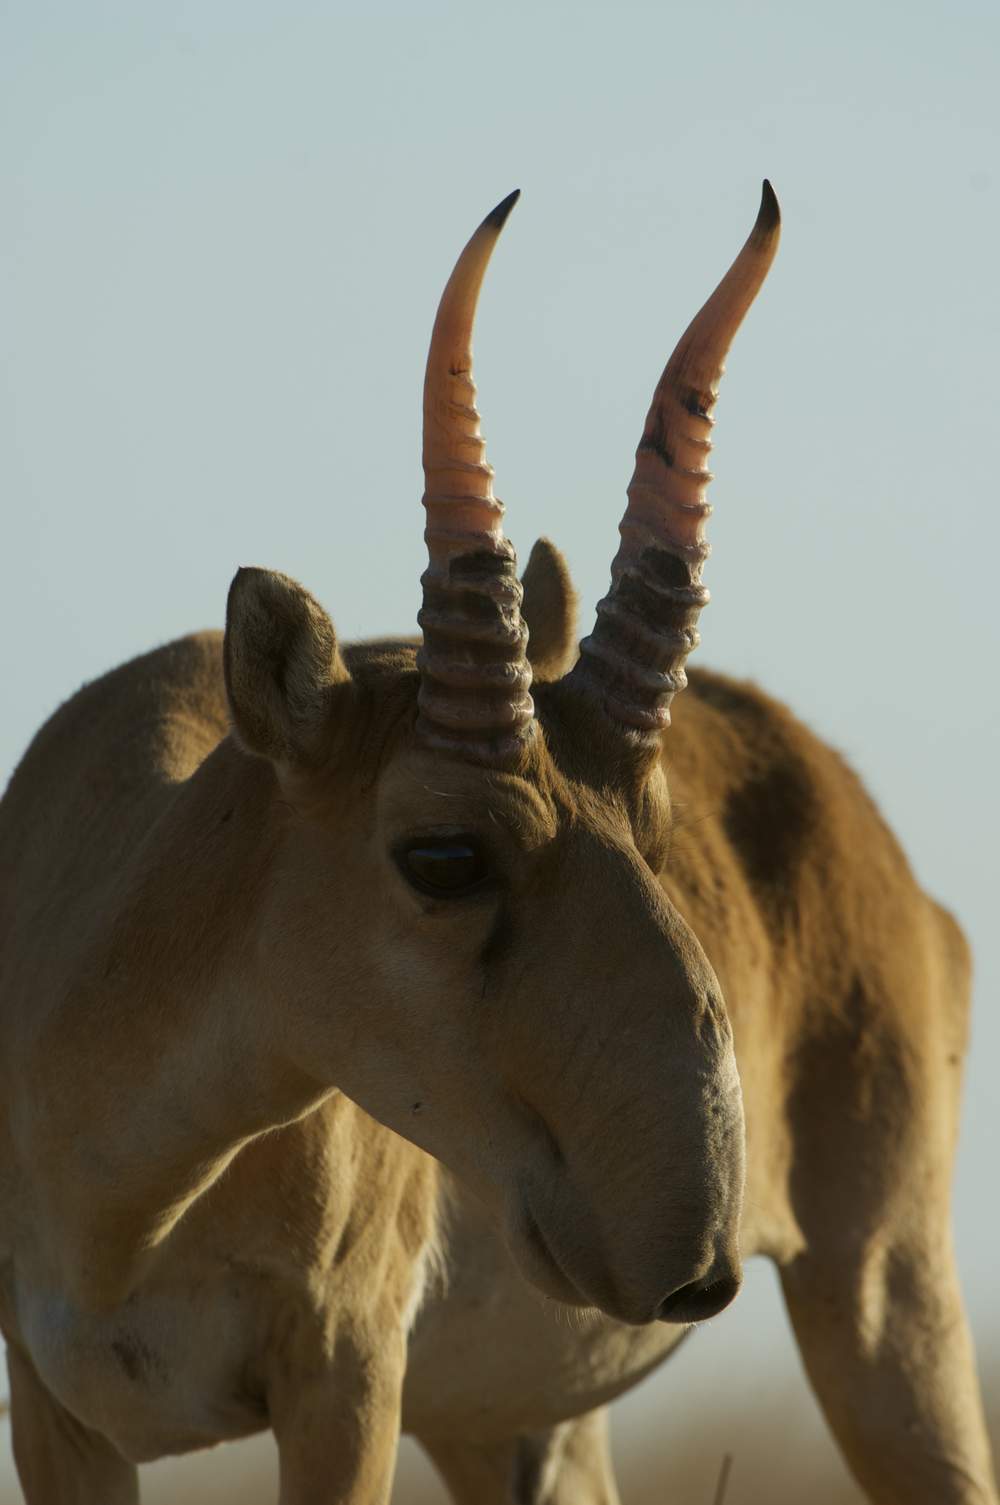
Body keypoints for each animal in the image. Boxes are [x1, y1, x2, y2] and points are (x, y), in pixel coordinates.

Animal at [0, 183, 994, 1505]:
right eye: (442, 853)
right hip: (521, 1421)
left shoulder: (346, 1377)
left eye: (656, 829)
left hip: (885, 1287)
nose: (687, 1251)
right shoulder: (58, 1413)